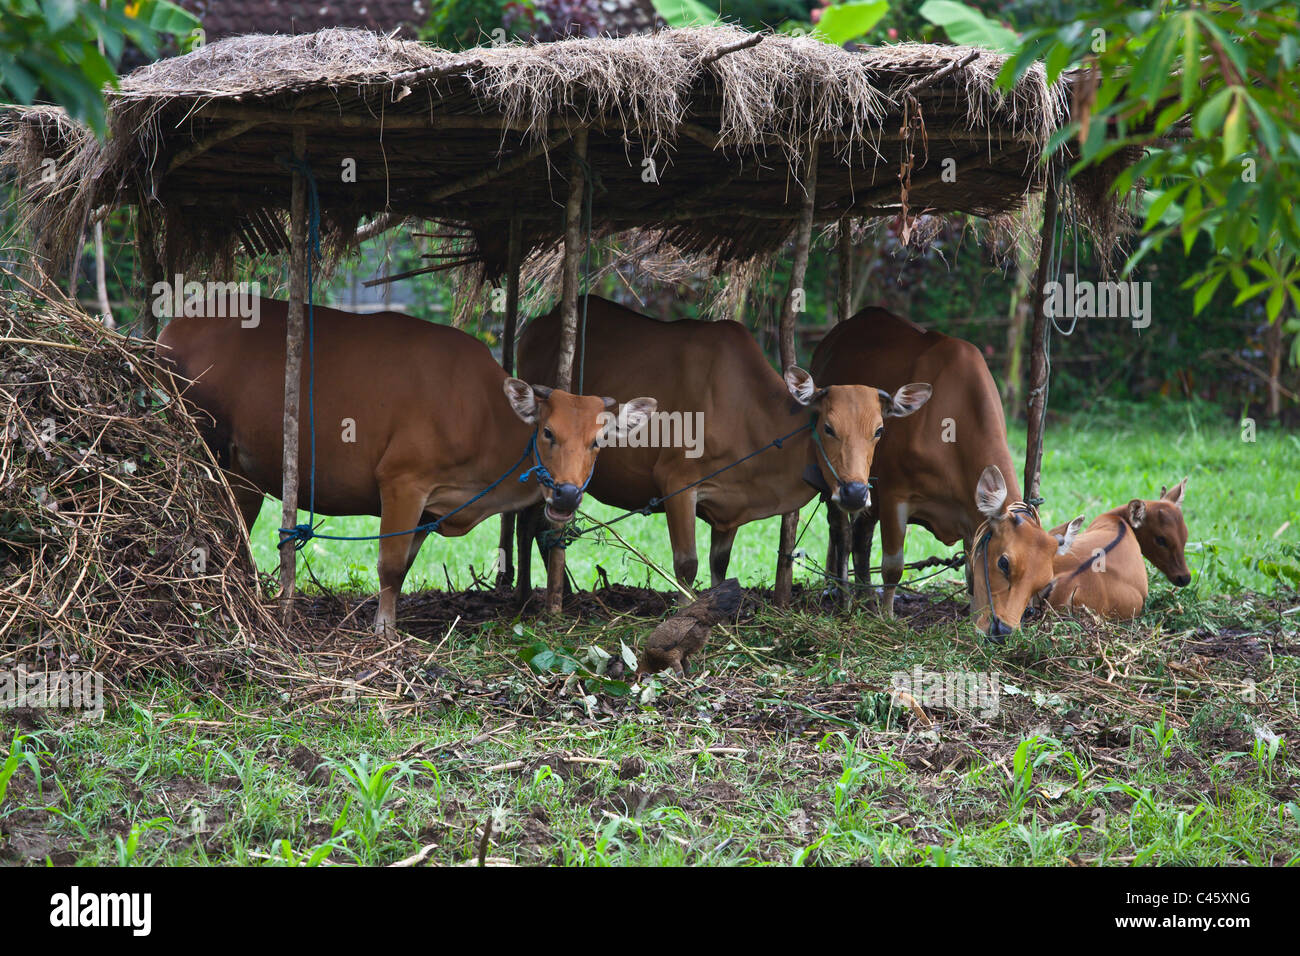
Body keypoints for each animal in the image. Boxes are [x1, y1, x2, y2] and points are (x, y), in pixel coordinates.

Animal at [157, 299, 655, 633]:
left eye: (599, 440)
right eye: (548, 432)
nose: (567, 493)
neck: (483, 416)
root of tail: (176, 327)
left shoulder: (430, 507)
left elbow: (407, 562)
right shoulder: (402, 482)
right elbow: (392, 564)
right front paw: (384, 629)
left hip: (243, 471)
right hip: (206, 446)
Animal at [515, 296, 931, 599]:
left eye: (879, 431)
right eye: (828, 427)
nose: (856, 492)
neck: (749, 417)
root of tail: (539, 324)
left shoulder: (728, 510)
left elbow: (720, 566)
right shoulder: (677, 484)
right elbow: (687, 565)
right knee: (529, 523)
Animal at [811, 306, 1035, 618]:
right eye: (1005, 563)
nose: (1026, 613)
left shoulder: (971, 514)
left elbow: (971, 572)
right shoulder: (894, 495)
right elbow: (893, 567)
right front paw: (888, 616)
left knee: (861, 536)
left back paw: (864, 595)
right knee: (841, 532)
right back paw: (842, 596)